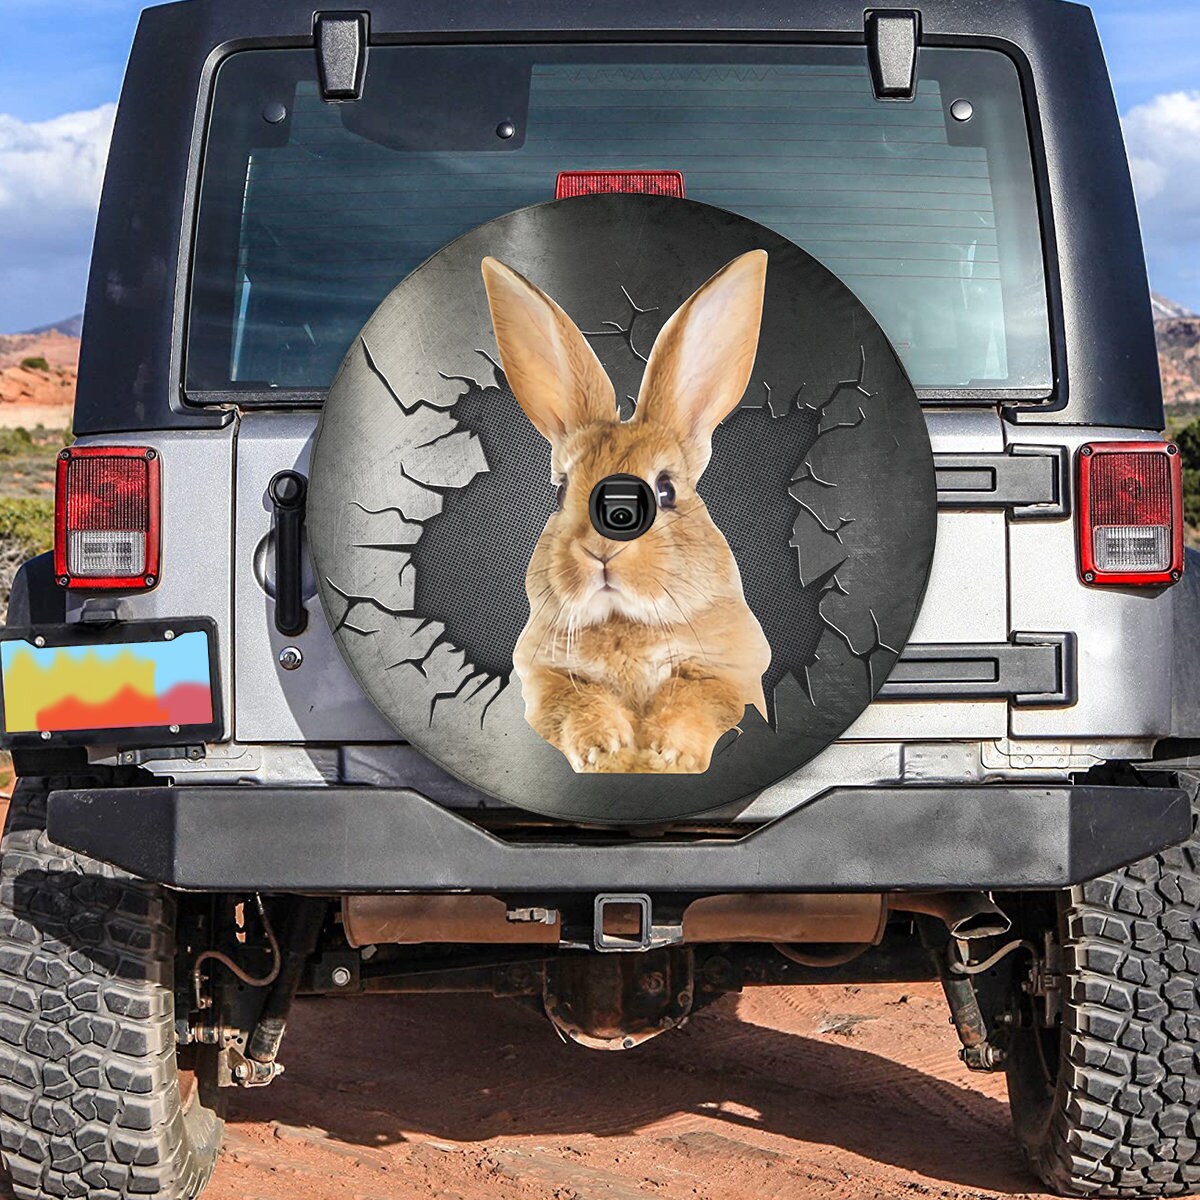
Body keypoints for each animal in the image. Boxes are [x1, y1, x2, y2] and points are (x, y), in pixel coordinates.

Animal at [481, 250, 772, 774]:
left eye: (666, 490)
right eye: (561, 492)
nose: (601, 550)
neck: (627, 622)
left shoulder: (729, 674)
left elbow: (694, 699)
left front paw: (667, 751)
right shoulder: (546, 679)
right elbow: (578, 702)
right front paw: (605, 747)